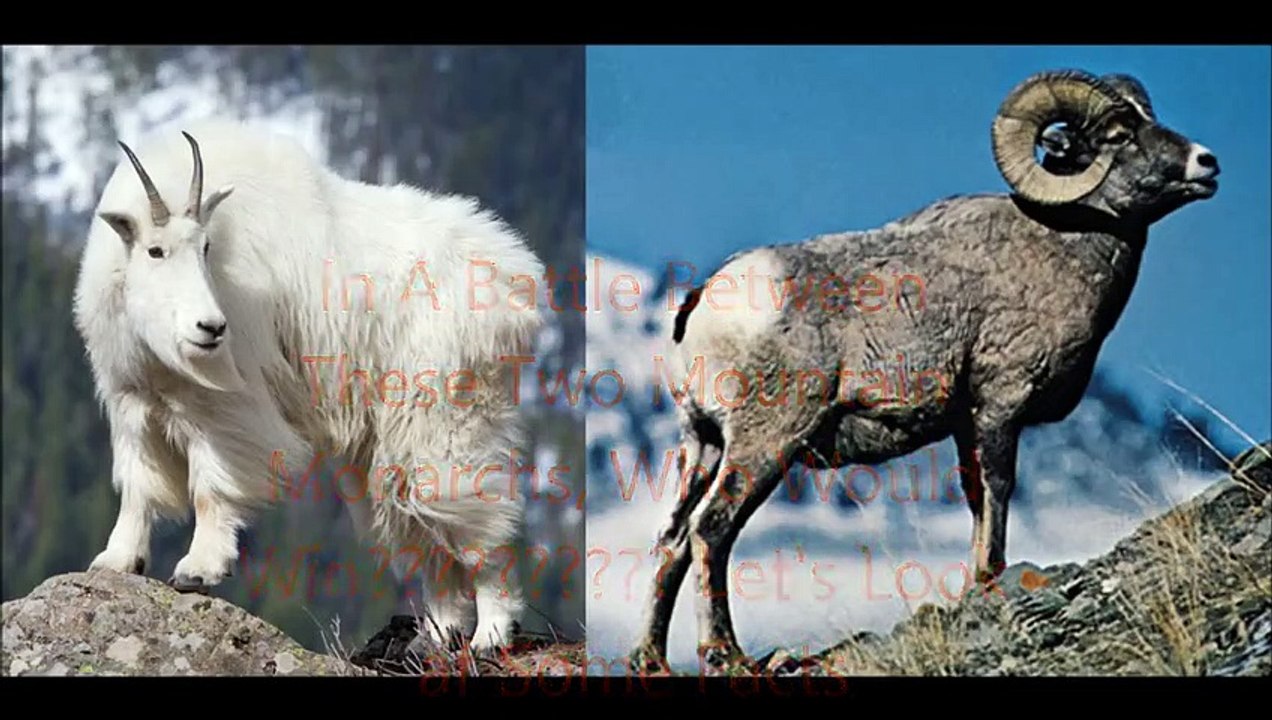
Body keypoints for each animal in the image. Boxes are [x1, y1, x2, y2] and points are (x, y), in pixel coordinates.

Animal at [74, 120, 545, 652]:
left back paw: (492, 631)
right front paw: (116, 560)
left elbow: (211, 487)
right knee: (419, 519)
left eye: (206, 248)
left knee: (474, 512)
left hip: (445, 410)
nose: (211, 328)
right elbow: (138, 486)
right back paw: (436, 636)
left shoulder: (228, 406)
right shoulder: (132, 403)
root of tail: (514, 277)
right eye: (156, 250)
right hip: (390, 434)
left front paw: (199, 570)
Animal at [630, 69, 1221, 672]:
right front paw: (988, 578)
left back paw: (651, 660)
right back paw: (727, 654)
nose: (1206, 162)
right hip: (764, 444)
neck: (1062, 243)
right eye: (1120, 135)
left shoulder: (965, 425)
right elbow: (999, 489)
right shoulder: (1000, 406)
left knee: (673, 540)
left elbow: (976, 497)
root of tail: (706, 300)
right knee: (711, 530)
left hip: (703, 444)